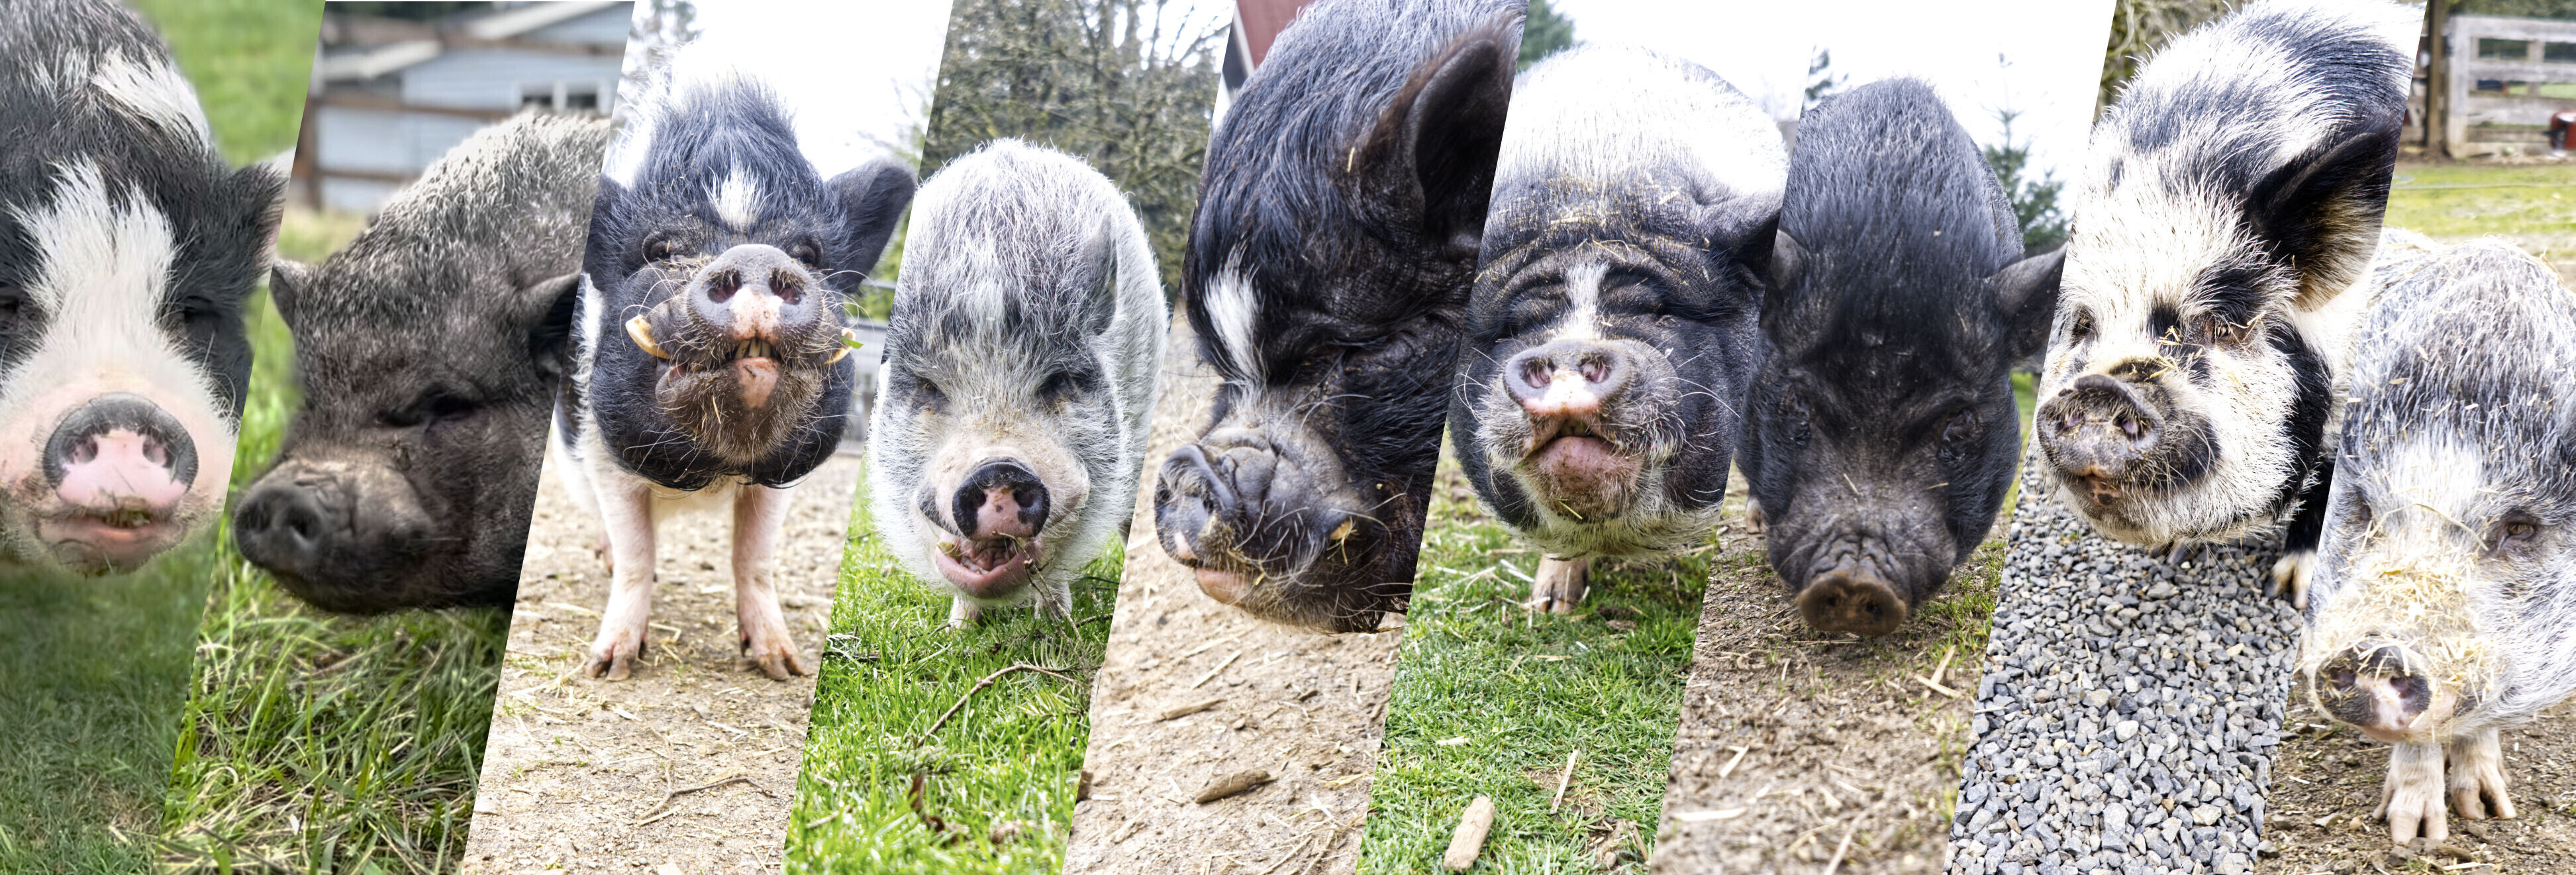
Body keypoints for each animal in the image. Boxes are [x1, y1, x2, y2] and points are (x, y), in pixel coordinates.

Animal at [565, 56, 914, 680]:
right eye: (660, 249)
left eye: (808, 253)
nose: (754, 257)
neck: (714, 472)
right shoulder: (600, 452)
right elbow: (635, 555)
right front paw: (610, 668)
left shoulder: (781, 477)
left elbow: (754, 556)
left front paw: (784, 666)